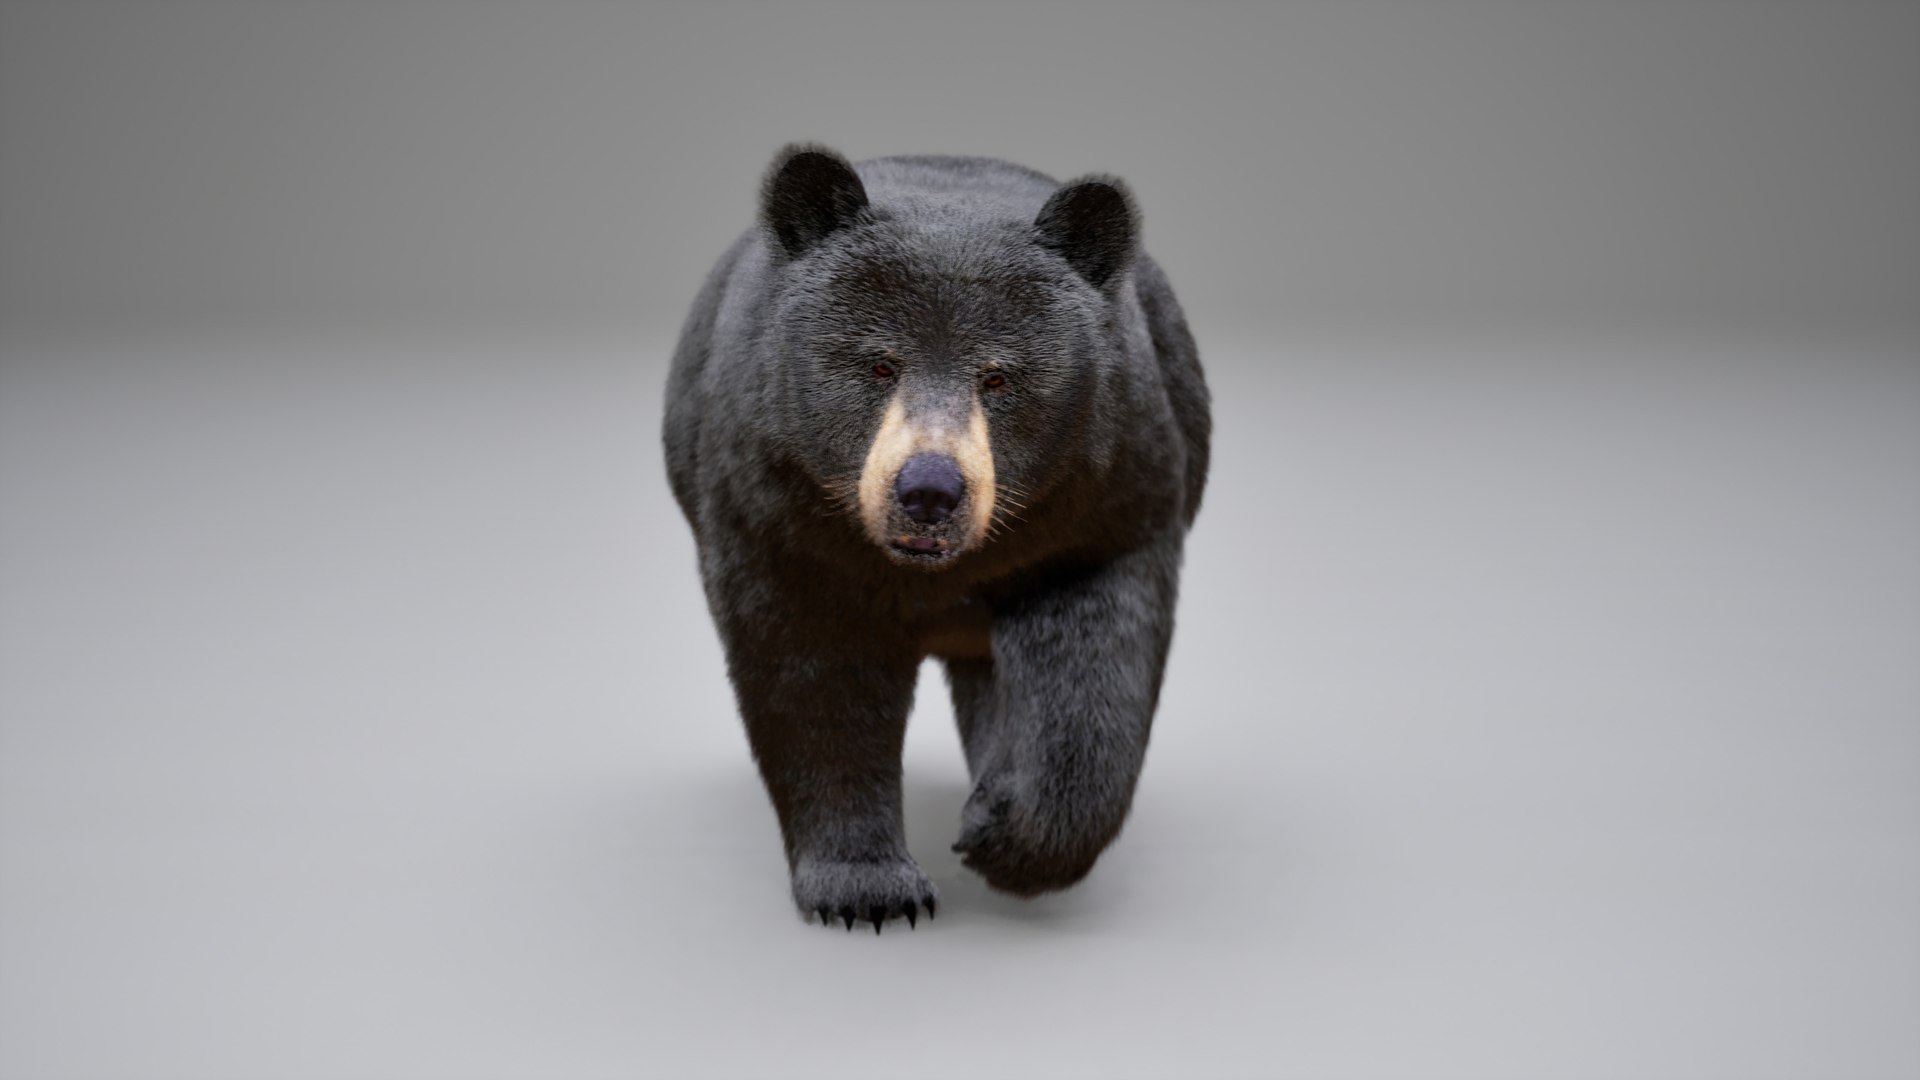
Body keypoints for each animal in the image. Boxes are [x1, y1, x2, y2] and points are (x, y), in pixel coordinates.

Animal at [663, 144, 1210, 931]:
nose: (928, 490)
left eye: (999, 377)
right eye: (878, 363)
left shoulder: (1105, 495)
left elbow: (1094, 652)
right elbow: (811, 668)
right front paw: (866, 888)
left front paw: (1009, 833)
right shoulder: (775, 508)